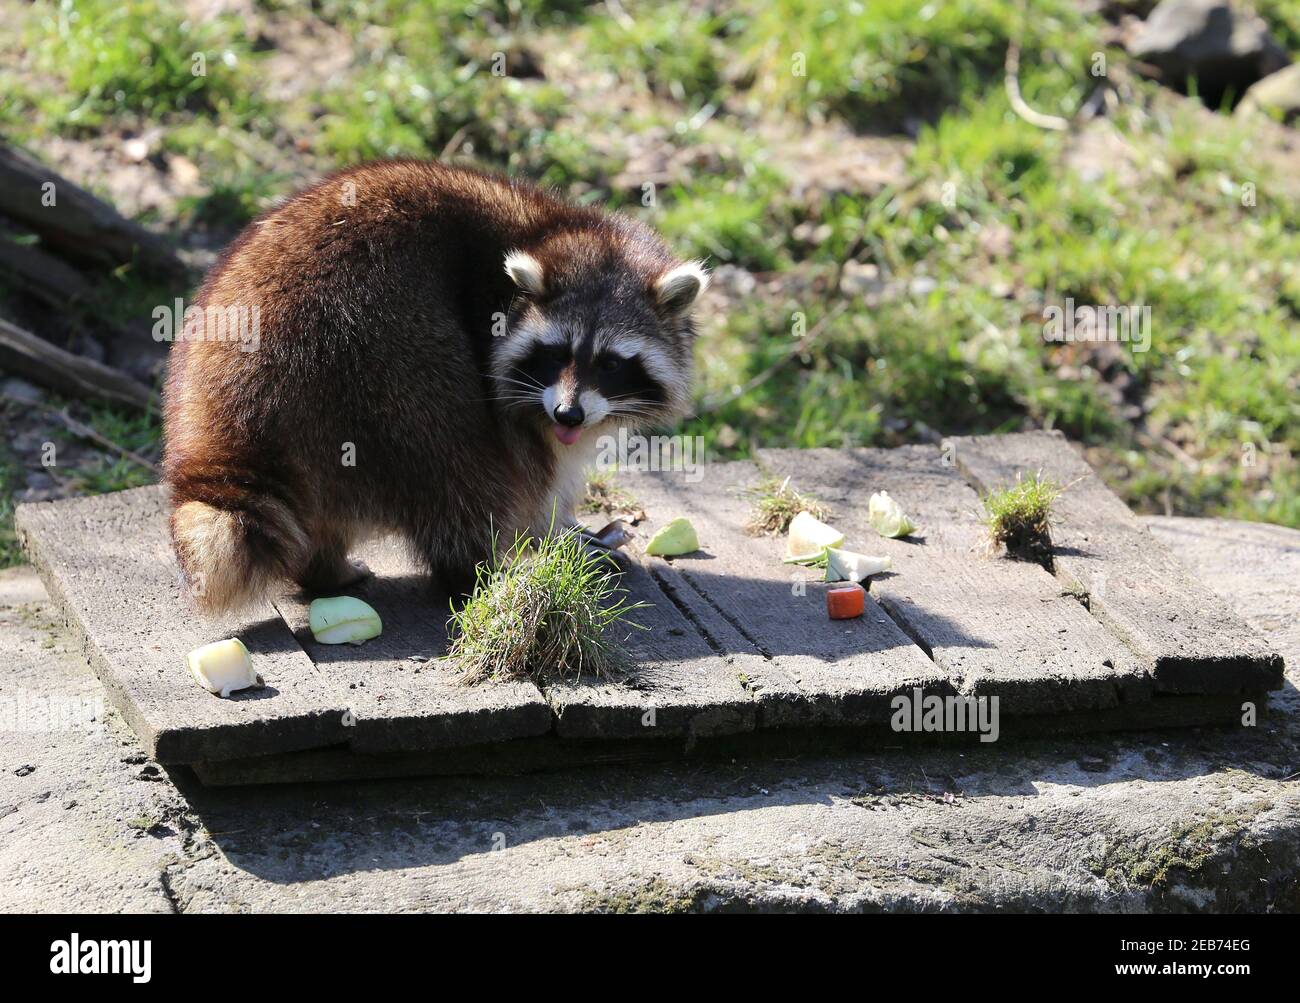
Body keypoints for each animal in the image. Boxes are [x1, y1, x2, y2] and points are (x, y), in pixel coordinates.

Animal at [163, 160, 707, 614]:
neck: (557, 231)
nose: (568, 416)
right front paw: (550, 532)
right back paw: (476, 571)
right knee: (460, 457)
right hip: (380, 356)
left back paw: (324, 569)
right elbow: (530, 467)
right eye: (555, 354)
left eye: (611, 363)